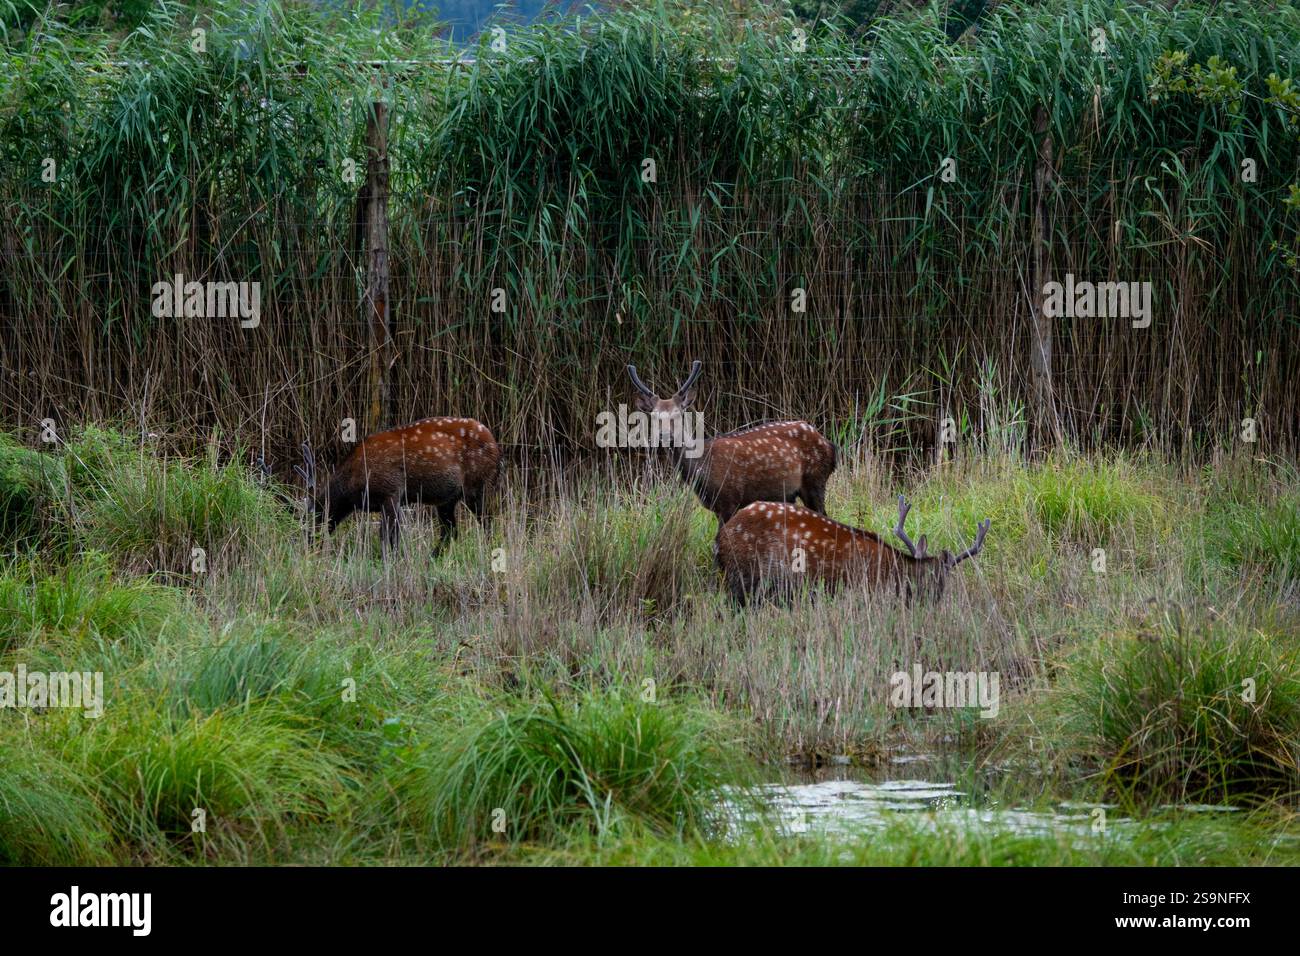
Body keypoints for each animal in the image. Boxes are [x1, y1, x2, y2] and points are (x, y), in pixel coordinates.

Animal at [295, 417, 501, 552]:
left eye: (310, 521)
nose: (306, 547)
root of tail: (495, 446)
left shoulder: (391, 491)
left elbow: (388, 536)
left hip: (478, 486)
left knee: (487, 524)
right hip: (446, 499)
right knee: (450, 531)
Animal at [626, 360, 837, 535]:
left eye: (678, 413)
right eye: (653, 416)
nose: (665, 436)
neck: (703, 470)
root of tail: (830, 446)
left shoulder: (730, 499)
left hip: (815, 481)